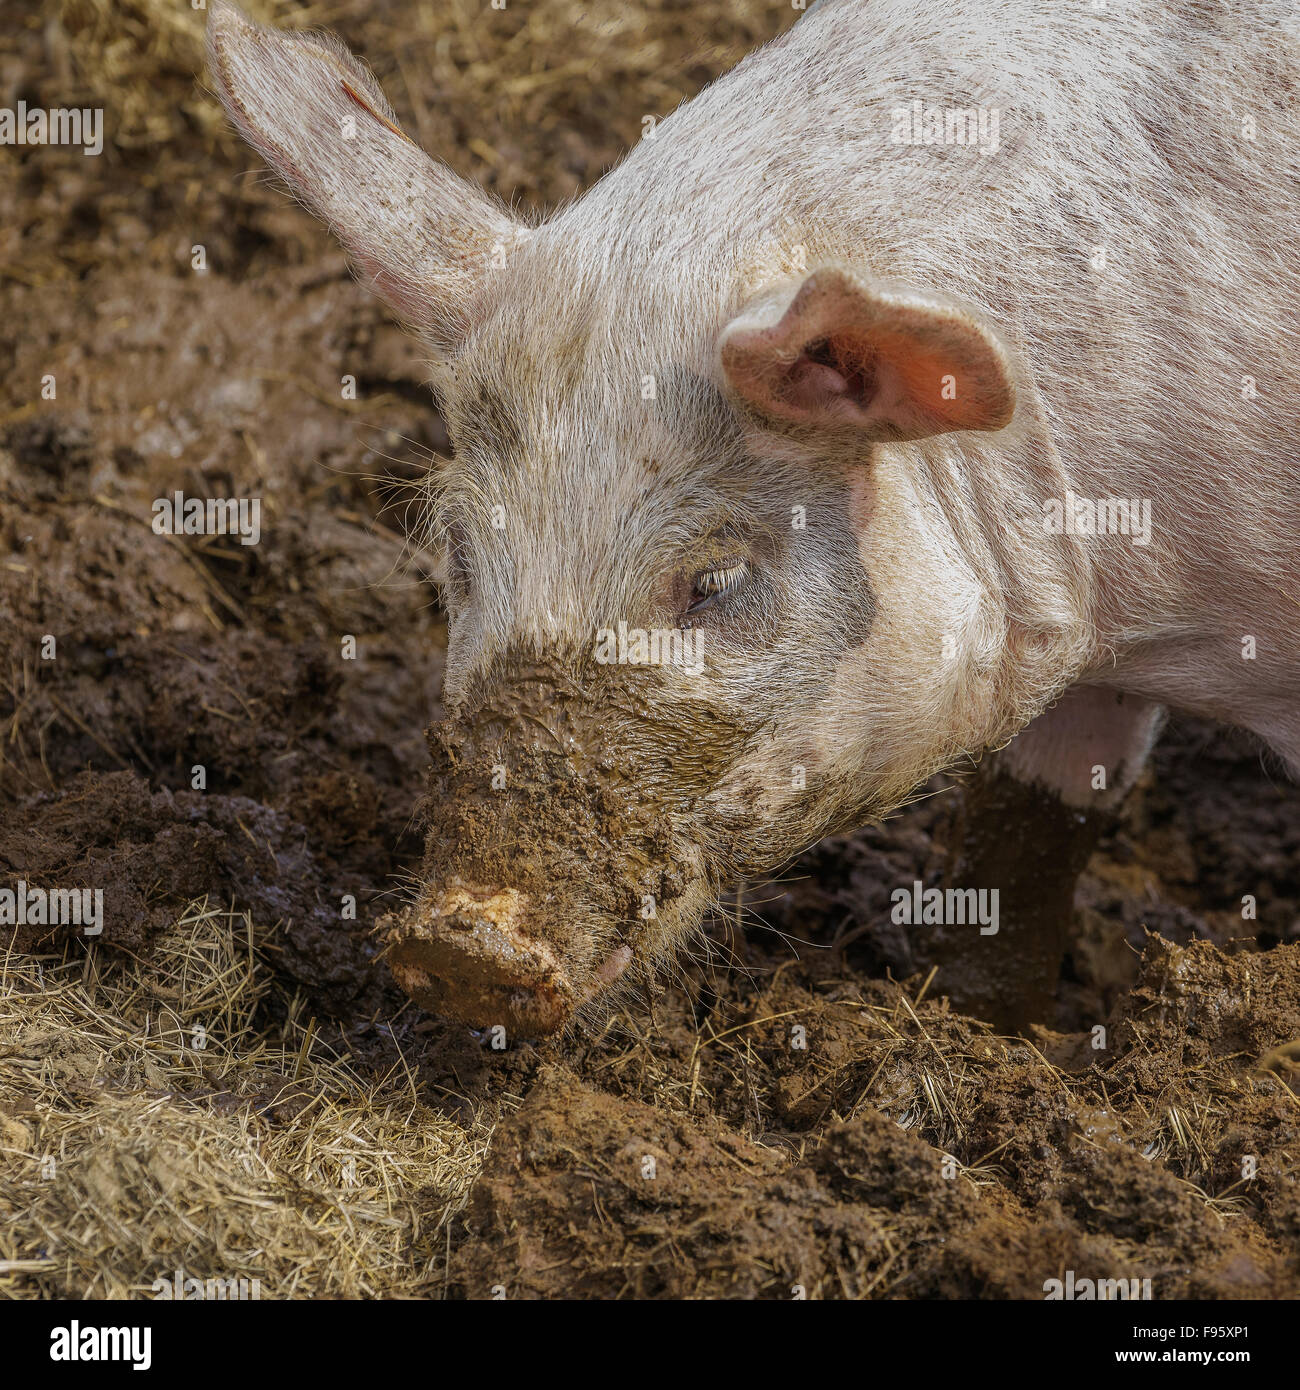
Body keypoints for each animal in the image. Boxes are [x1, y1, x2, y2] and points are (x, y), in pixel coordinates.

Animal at [207, 0, 1300, 1035]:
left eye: (716, 579)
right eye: (462, 553)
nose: (462, 943)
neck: (1147, 621)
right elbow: (1031, 826)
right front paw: (986, 1021)